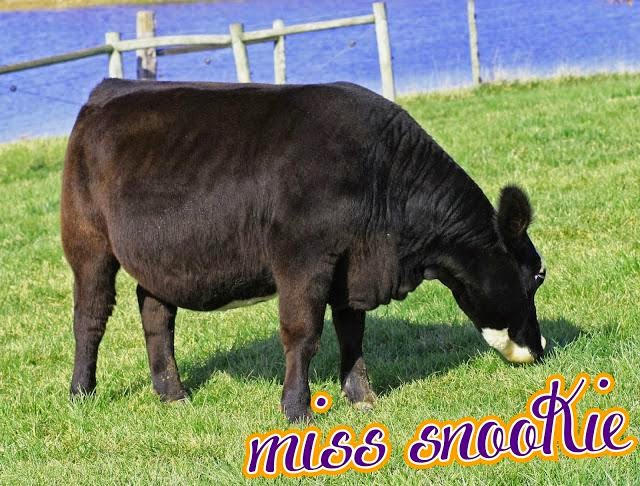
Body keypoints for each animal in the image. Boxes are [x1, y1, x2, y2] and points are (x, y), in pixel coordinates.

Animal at [61, 79, 547, 422]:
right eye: (538, 275)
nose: (541, 348)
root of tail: (110, 89)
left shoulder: (352, 269)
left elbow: (352, 332)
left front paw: (361, 397)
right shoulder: (302, 260)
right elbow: (303, 333)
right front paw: (296, 409)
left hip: (160, 257)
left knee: (155, 313)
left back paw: (172, 394)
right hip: (87, 243)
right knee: (91, 316)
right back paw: (81, 392)